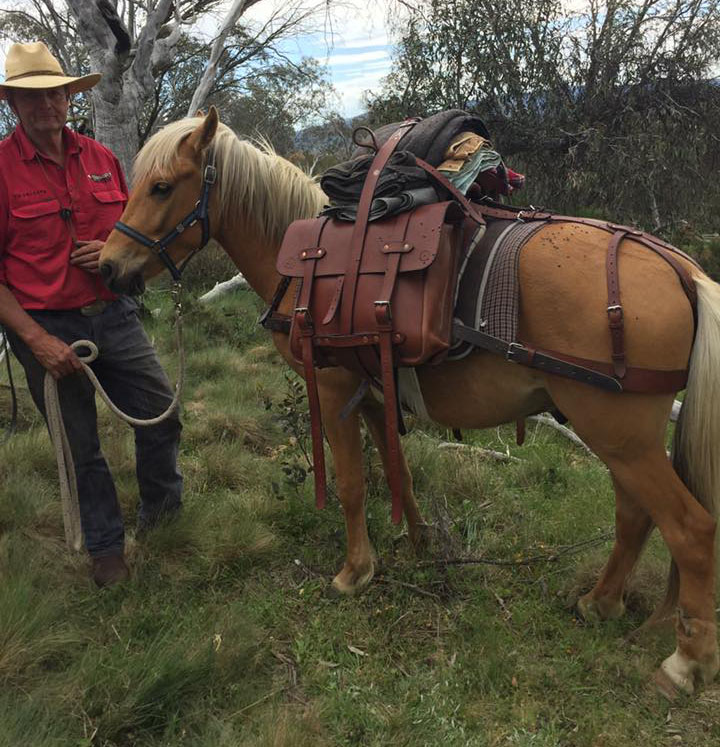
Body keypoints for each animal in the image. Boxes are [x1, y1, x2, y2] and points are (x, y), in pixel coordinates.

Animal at [99, 108, 720, 697]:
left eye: (161, 187)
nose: (107, 266)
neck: (299, 263)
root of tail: (678, 266)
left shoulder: (334, 394)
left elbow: (352, 486)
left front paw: (355, 572)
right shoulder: (375, 395)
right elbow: (399, 472)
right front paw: (419, 543)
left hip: (619, 436)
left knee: (689, 529)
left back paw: (684, 663)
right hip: (620, 437)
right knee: (634, 516)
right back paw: (602, 602)